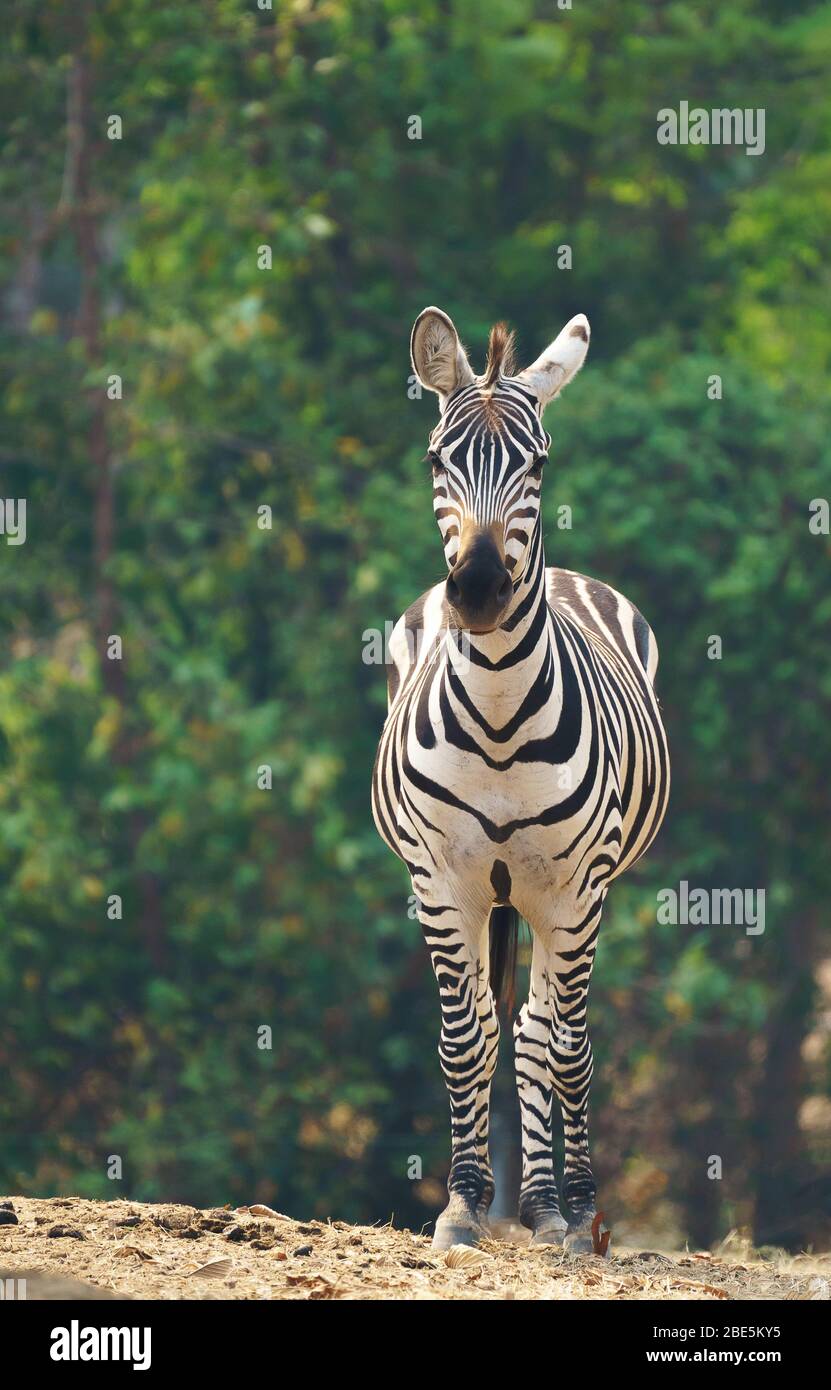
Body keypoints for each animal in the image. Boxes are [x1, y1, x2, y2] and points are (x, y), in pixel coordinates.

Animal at [372, 307, 670, 1252]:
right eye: (436, 459)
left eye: (535, 464)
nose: (475, 590)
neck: (501, 713)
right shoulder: (441, 883)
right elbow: (464, 1039)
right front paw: (463, 1205)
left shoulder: (575, 889)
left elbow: (563, 1047)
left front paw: (572, 1214)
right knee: (508, 1027)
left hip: (563, 897)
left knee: (545, 1034)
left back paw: (551, 1206)